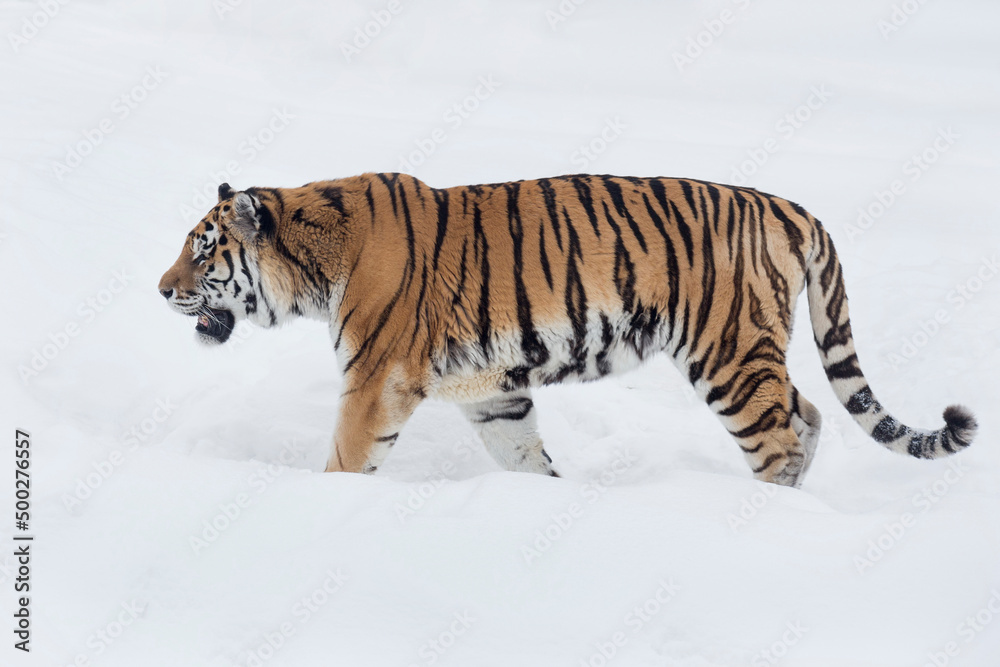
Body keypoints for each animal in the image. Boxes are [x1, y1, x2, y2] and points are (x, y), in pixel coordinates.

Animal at [158, 173, 977, 487]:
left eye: (203, 250)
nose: (162, 290)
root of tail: (793, 207)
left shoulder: (374, 382)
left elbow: (344, 460)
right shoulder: (492, 393)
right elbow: (524, 455)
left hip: (729, 353)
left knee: (780, 433)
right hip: (749, 354)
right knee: (806, 413)